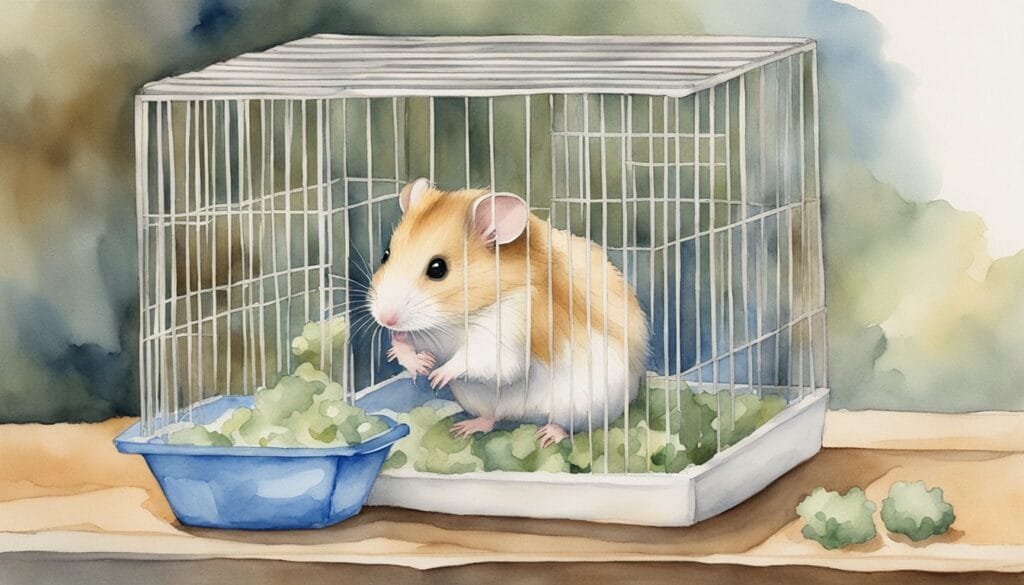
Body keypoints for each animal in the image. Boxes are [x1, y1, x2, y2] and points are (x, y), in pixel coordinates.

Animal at [369, 178, 649, 447]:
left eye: (438, 269)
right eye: (385, 255)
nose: (386, 319)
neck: (458, 320)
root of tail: (525, 417)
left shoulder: (507, 331)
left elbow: (478, 359)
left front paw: (437, 377)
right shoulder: (426, 334)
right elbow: (407, 344)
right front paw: (420, 364)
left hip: (585, 405)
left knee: (568, 427)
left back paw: (547, 436)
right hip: (476, 399)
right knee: (491, 419)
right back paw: (465, 429)